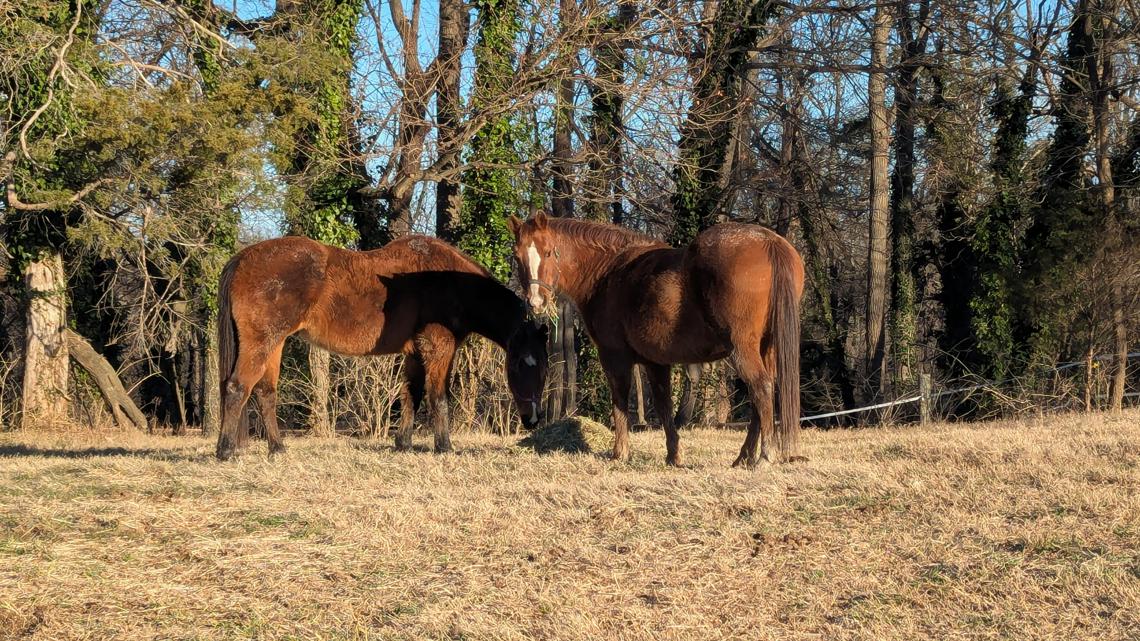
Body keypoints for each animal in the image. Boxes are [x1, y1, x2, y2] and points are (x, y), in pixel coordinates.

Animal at [214, 235, 549, 460]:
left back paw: (278, 448)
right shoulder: (438, 349)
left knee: (265, 393)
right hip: (262, 343)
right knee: (237, 387)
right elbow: (438, 397)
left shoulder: (415, 353)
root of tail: (243, 258)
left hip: (275, 344)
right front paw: (444, 446)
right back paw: (226, 450)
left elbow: (412, 395)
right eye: (521, 363)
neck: (451, 283)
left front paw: (403, 443)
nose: (533, 419)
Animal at [507, 212, 804, 467]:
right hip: (766, 347)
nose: (535, 302)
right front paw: (674, 456)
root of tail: (769, 242)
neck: (609, 272)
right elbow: (664, 406)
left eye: (548, 252)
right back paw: (744, 457)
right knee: (761, 396)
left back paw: (764, 456)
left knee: (761, 388)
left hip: (742, 349)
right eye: (517, 256)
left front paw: (620, 453)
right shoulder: (655, 362)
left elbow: (620, 401)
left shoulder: (614, 356)